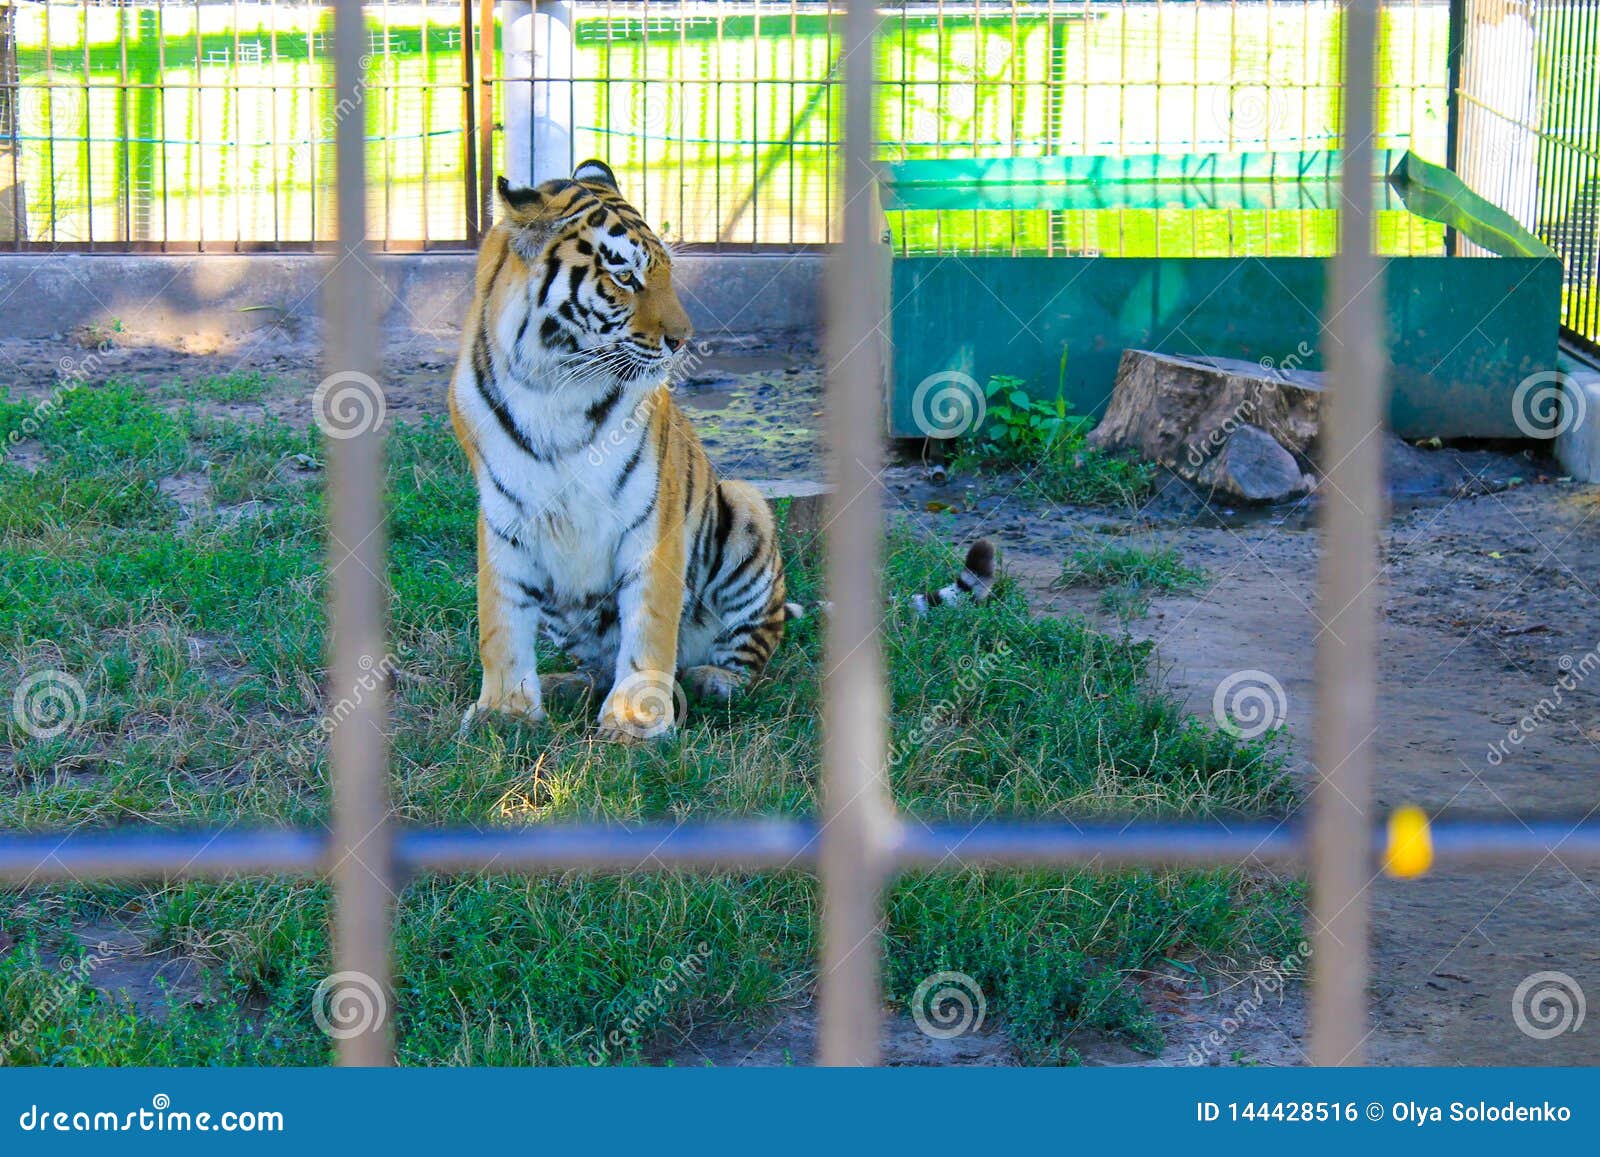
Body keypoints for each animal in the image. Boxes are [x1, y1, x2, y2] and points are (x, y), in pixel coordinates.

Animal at [450, 159, 996, 741]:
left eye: (665, 271)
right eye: (624, 276)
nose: (683, 340)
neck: (553, 386)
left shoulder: (652, 514)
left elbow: (650, 623)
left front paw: (636, 724)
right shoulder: (506, 514)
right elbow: (500, 621)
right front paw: (503, 713)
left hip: (745, 509)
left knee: (748, 651)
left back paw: (710, 679)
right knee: (597, 665)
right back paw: (567, 684)